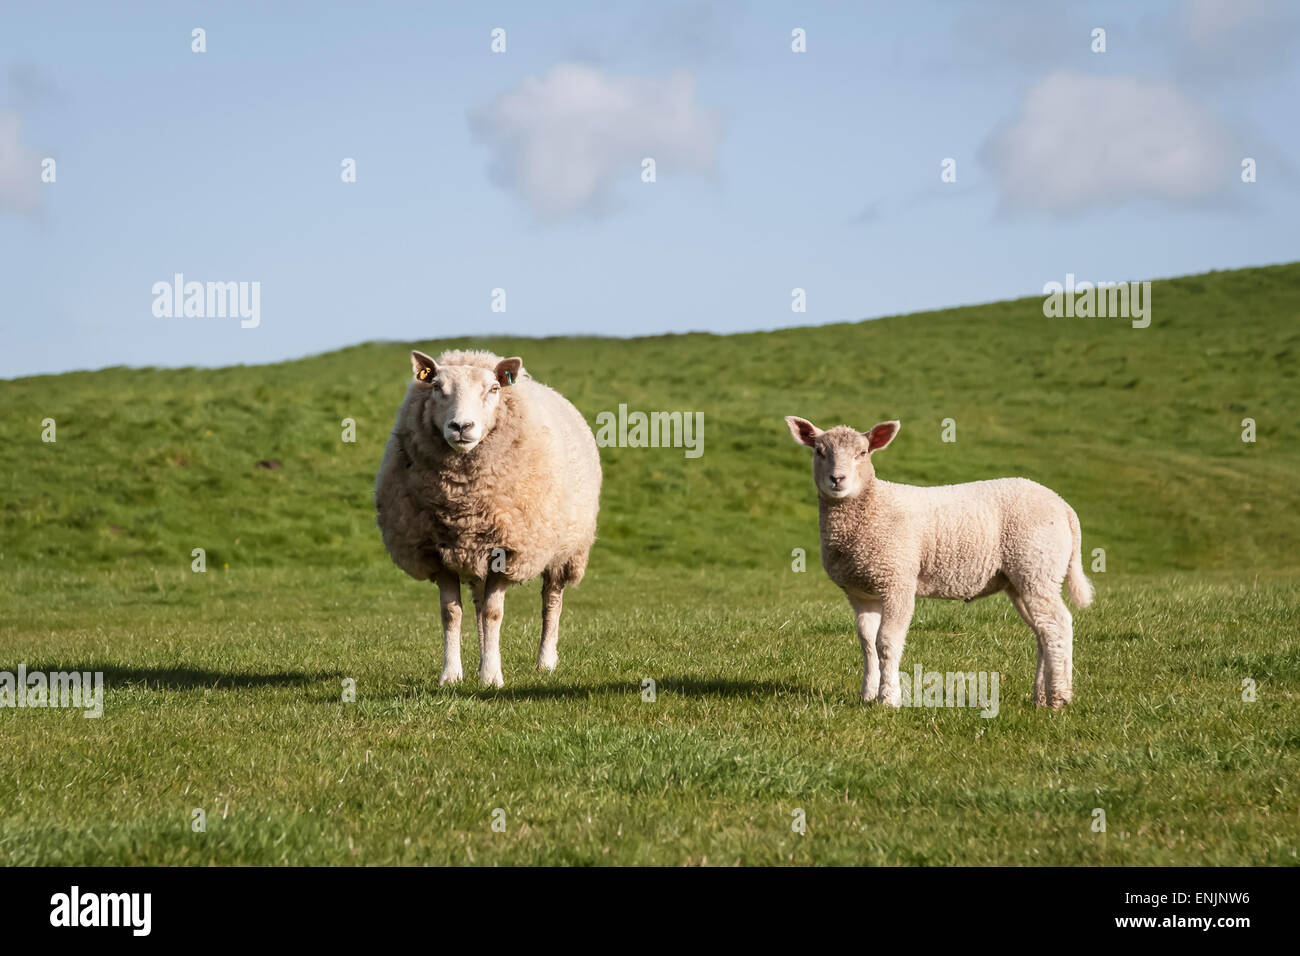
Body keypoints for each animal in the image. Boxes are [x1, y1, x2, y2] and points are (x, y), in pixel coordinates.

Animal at [376, 349, 601, 687]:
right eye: (437, 387)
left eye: (493, 389)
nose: (461, 426)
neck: (462, 505)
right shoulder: (437, 553)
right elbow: (451, 613)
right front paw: (451, 675)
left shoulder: (507, 551)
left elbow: (494, 614)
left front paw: (492, 677)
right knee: (479, 604)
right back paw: (482, 659)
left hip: (564, 549)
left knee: (551, 601)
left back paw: (545, 661)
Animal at [784, 416, 1093, 709]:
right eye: (819, 451)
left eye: (863, 452)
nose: (837, 479)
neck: (872, 506)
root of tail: (1064, 507)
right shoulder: (860, 592)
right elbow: (867, 644)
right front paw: (867, 695)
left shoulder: (897, 580)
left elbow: (887, 642)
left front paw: (889, 699)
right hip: (1021, 579)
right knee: (1044, 631)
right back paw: (1042, 697)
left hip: (1037, 565)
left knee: (1058, 624)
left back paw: (1059, 697)